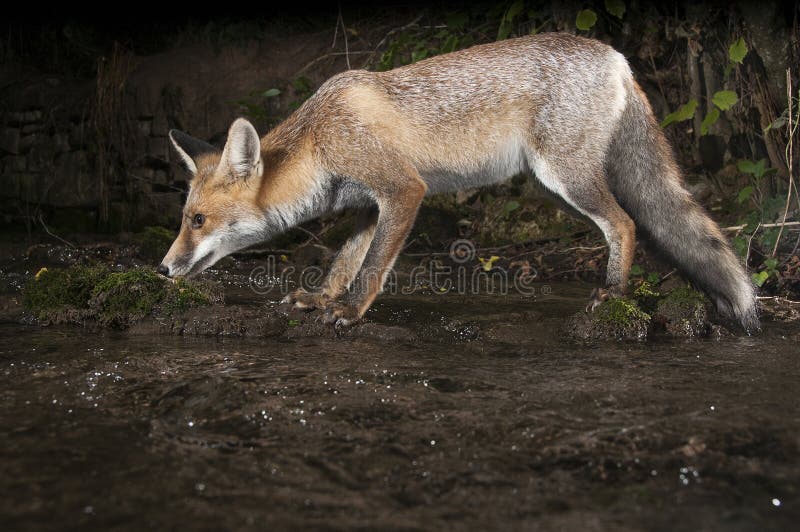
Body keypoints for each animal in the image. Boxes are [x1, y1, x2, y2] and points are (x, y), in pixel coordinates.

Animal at [158, 32, 759, 332]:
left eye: (197, 220)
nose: (162, 269)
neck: (319, 140)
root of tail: (618, 57)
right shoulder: (369, 205)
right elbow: (345, 259)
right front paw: (321, 298)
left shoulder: (403, 191)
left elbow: (372, 268)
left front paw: (349, 312)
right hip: (555, 189)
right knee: (642, 223)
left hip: (567, 178)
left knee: (627, 222)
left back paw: (611, 291)